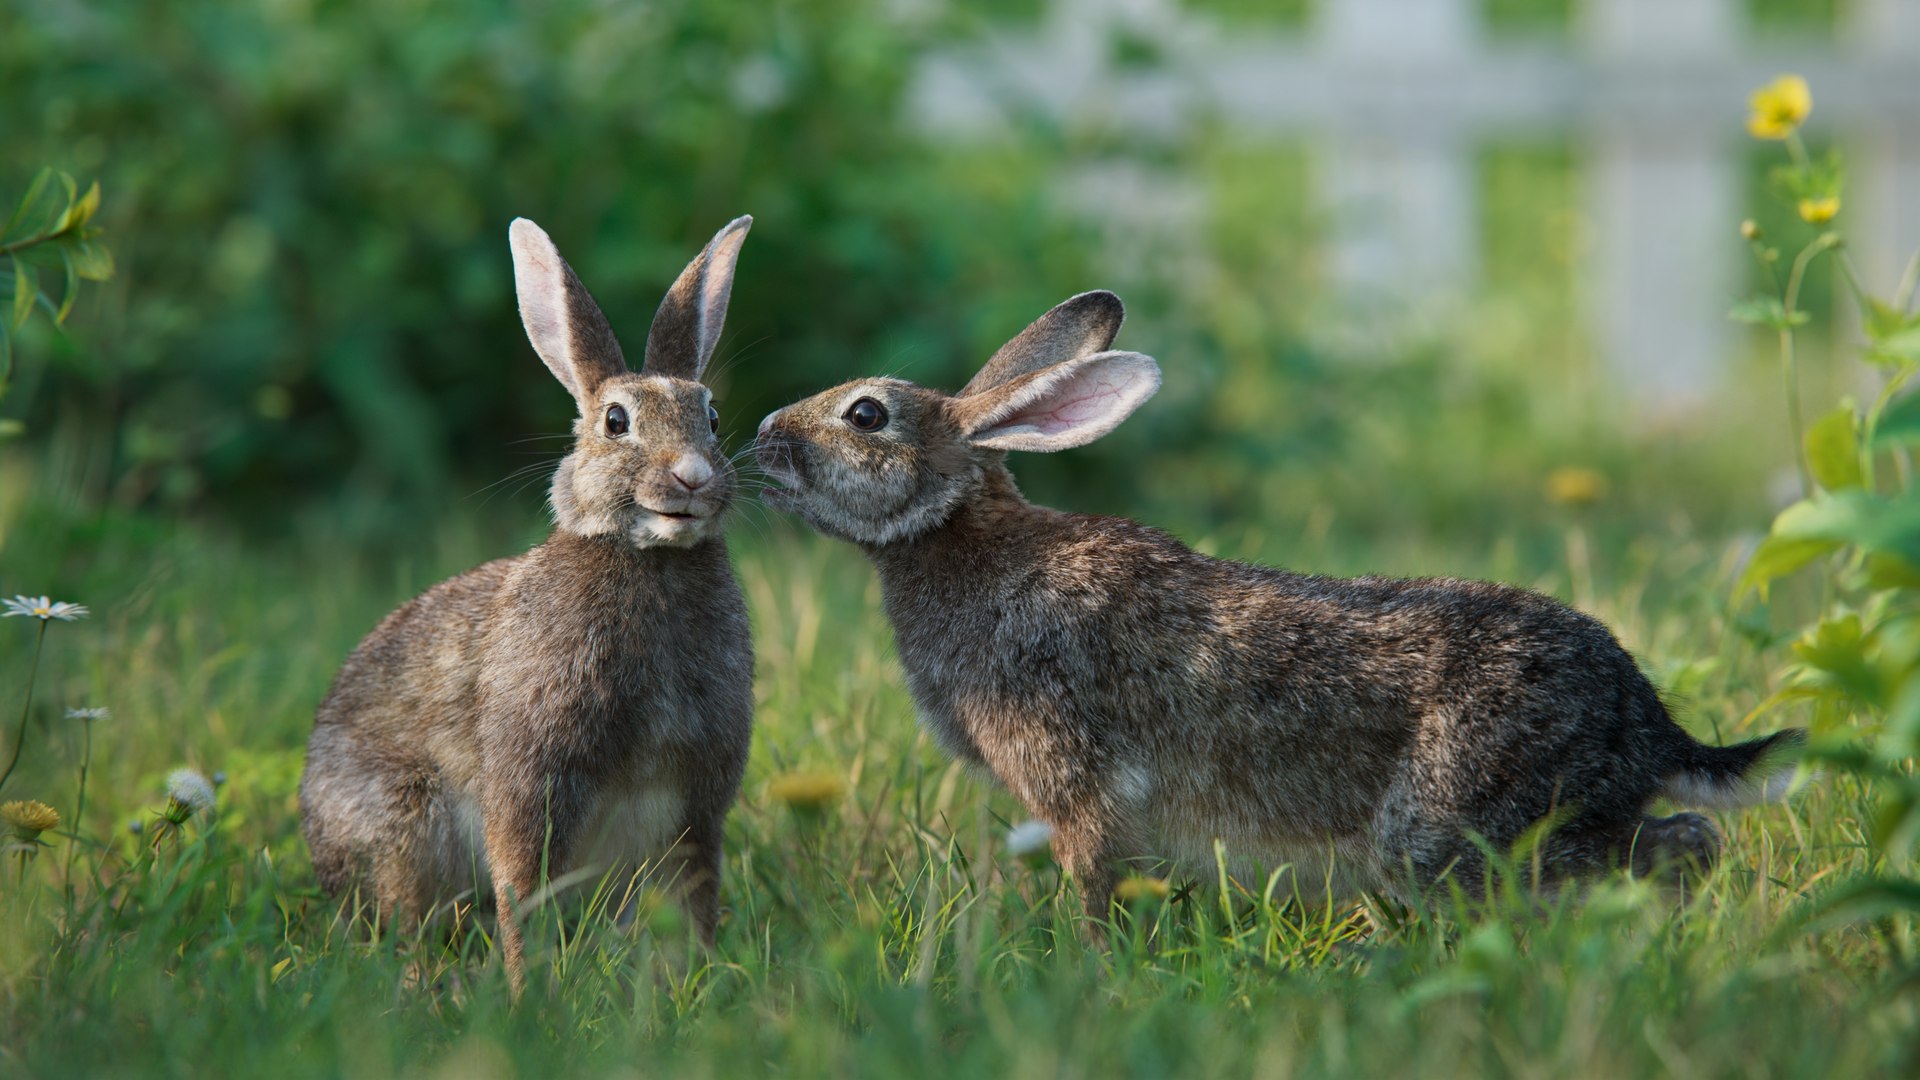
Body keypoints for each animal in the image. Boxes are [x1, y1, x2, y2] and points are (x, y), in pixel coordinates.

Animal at [300, 215, 756, 990]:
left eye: (714, 417)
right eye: (615, 422)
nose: (693, 477)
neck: (651, 560)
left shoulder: (695, 802)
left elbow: (693, 890)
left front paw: (697, 977)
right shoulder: (533, 774)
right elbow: (522, 880)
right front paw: (526, 987)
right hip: (403, 822)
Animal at [754, 289, 1804, 922]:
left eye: (865, 414)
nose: (762, 435)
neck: (955, 538)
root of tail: (1648, 725)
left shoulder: (1078, 782)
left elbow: (1094, 872)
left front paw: (1087, 961)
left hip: (1464, 818)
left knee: (1677, 843)